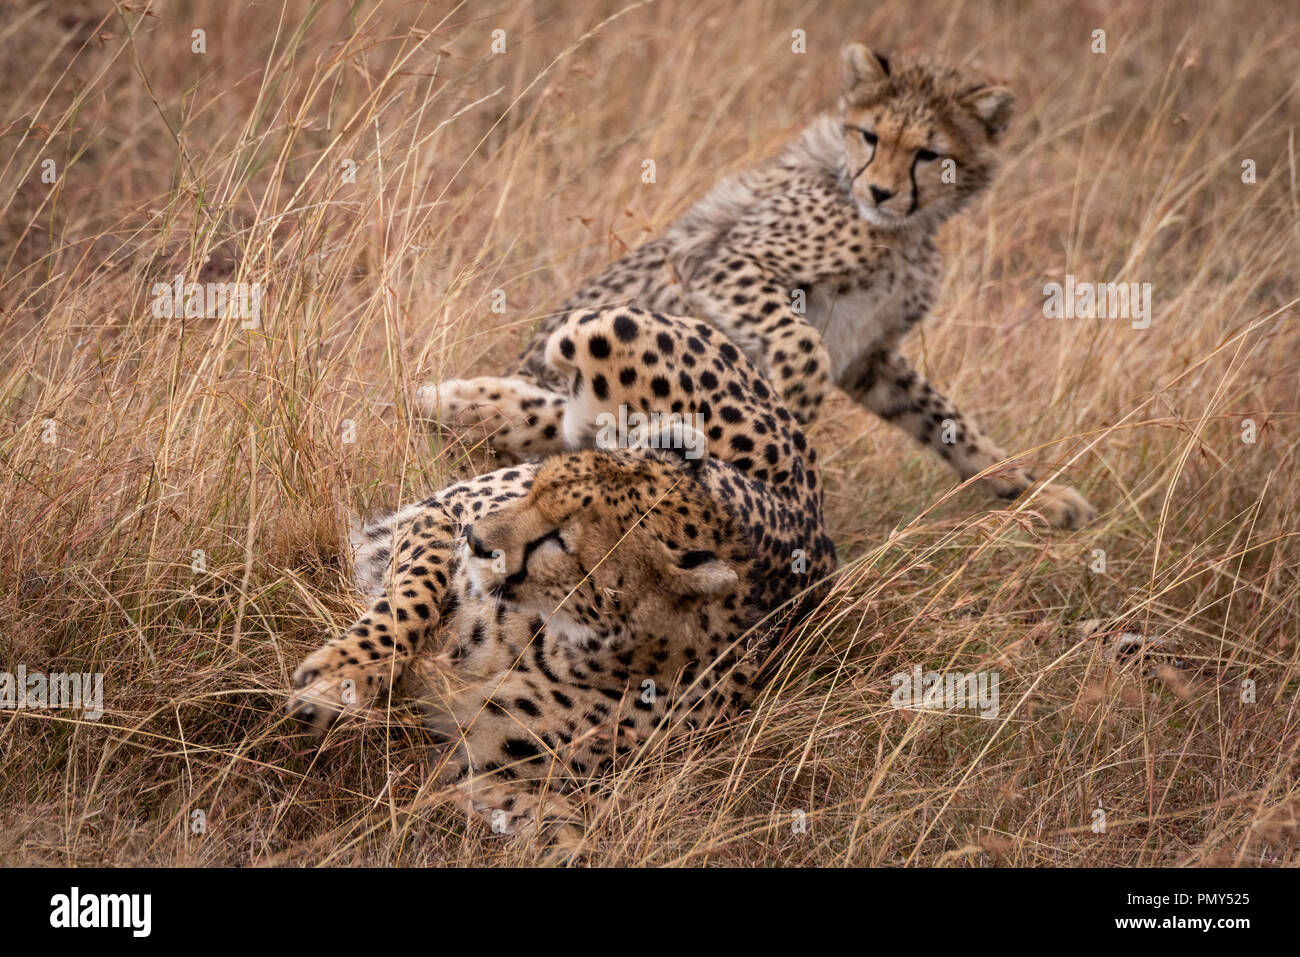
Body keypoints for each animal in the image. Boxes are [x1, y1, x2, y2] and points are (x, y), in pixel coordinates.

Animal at [287, 307, 836, 843]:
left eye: (559, 541)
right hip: (599, 332)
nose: (476, 541)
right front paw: (336, 679)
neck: (570, 641)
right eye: (534, 489)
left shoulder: (491, 771)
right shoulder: (436, 516)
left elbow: (562, 831)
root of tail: (821, 527)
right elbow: (407, 607)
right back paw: (446, 399)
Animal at [450, 44, 1094, 530]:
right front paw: (791, 413)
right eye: (869, 135)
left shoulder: (870, 356)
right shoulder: (726, 262)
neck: (903, 230)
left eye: (929, 153)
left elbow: (944, 419)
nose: (880, 191)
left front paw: (1029, 488)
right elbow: (803, 346)